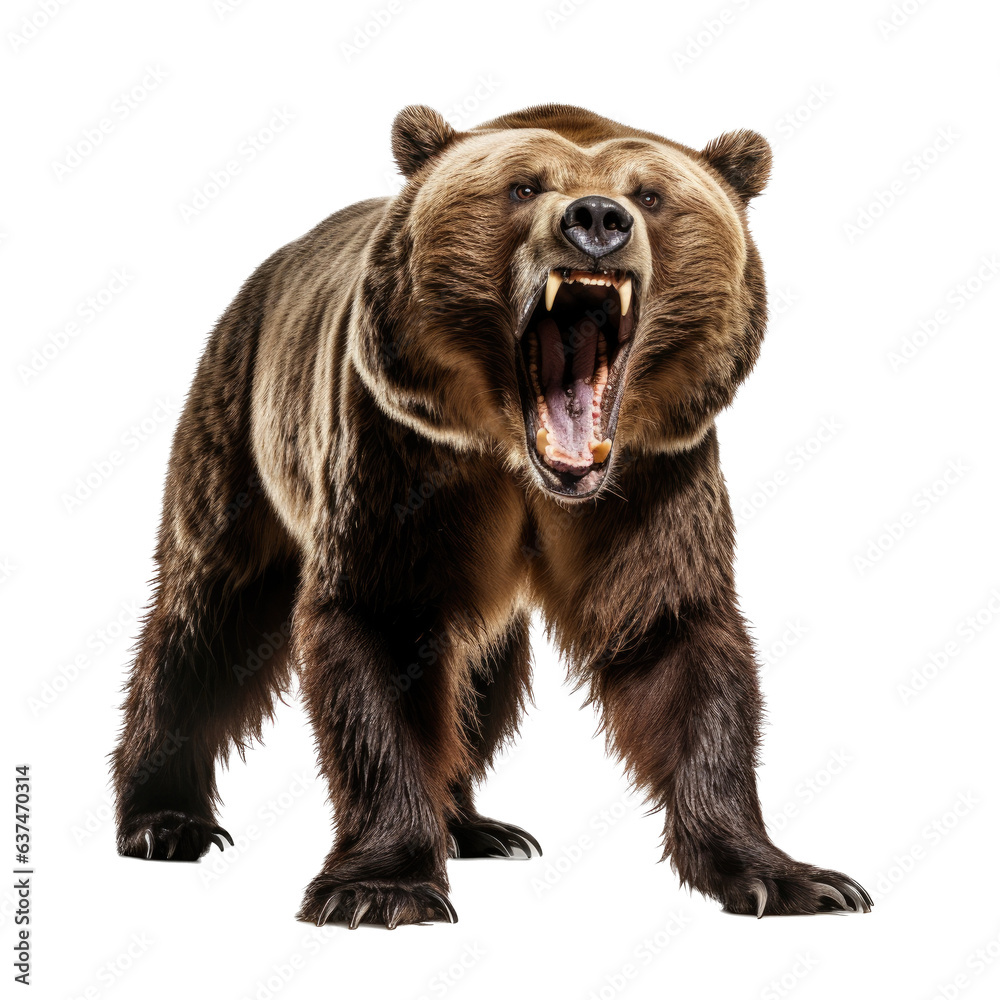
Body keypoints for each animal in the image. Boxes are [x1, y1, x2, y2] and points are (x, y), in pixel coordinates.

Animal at [111, 103, 871, 926]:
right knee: (208, 615)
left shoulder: (651, 485)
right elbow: (380, 631)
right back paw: (161, 819)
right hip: (241, 423)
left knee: (481, 680)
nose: (596, 219)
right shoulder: (401, 457)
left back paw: (475, 825)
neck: (522, 464)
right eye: (522, 185)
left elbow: (673, 639)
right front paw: (381, 886)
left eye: (651, 195)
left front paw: (788, 877)